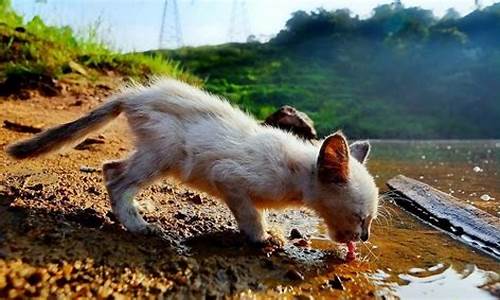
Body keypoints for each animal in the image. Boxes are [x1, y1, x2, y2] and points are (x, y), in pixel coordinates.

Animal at [6, 78, 378, 244]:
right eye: (360, 218)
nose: (364, 239)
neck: (296, 177)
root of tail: (136, 94)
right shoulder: (228, 176)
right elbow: (250, 215)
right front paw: (263, 237)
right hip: (165, 151)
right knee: (118, 180)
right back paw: (139, 226)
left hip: (153, 151)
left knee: (110, 168)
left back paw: (137, 214)